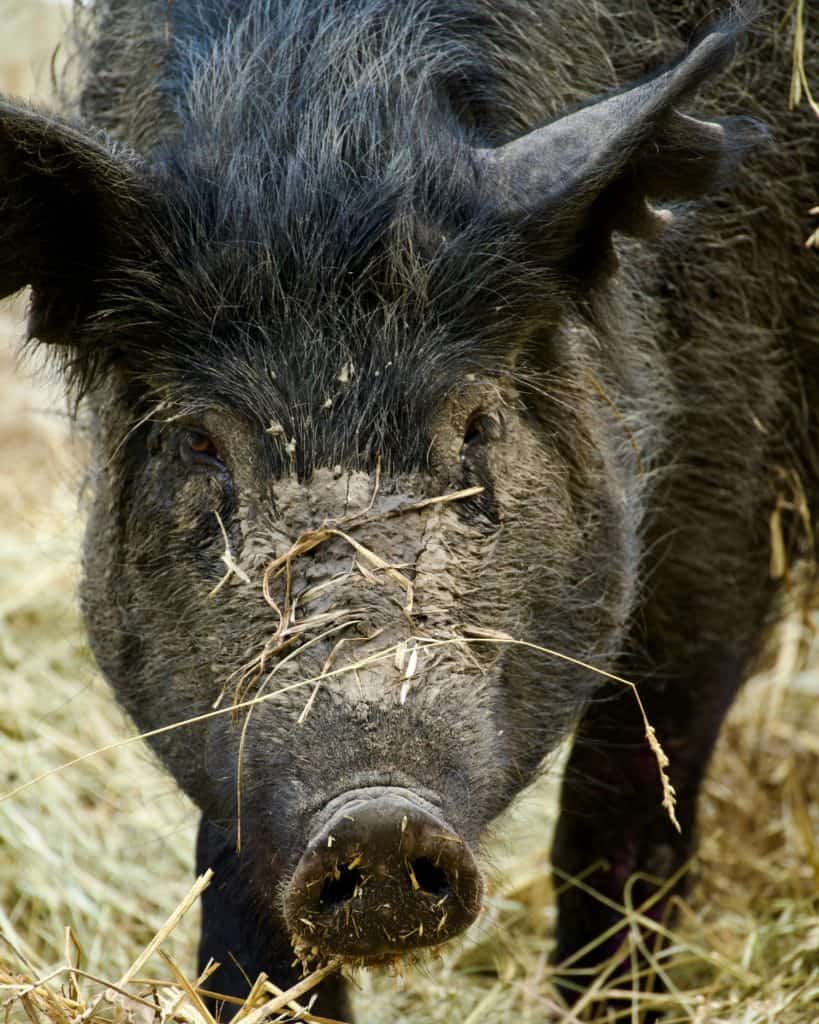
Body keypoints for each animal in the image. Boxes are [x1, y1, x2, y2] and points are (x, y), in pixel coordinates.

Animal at [1, 0, 816, 1019]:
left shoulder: (729, 499)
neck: (326, 123)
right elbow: (230, 866)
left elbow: (618, 813)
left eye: (476, 422)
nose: (376, 820)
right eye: (201, 442)